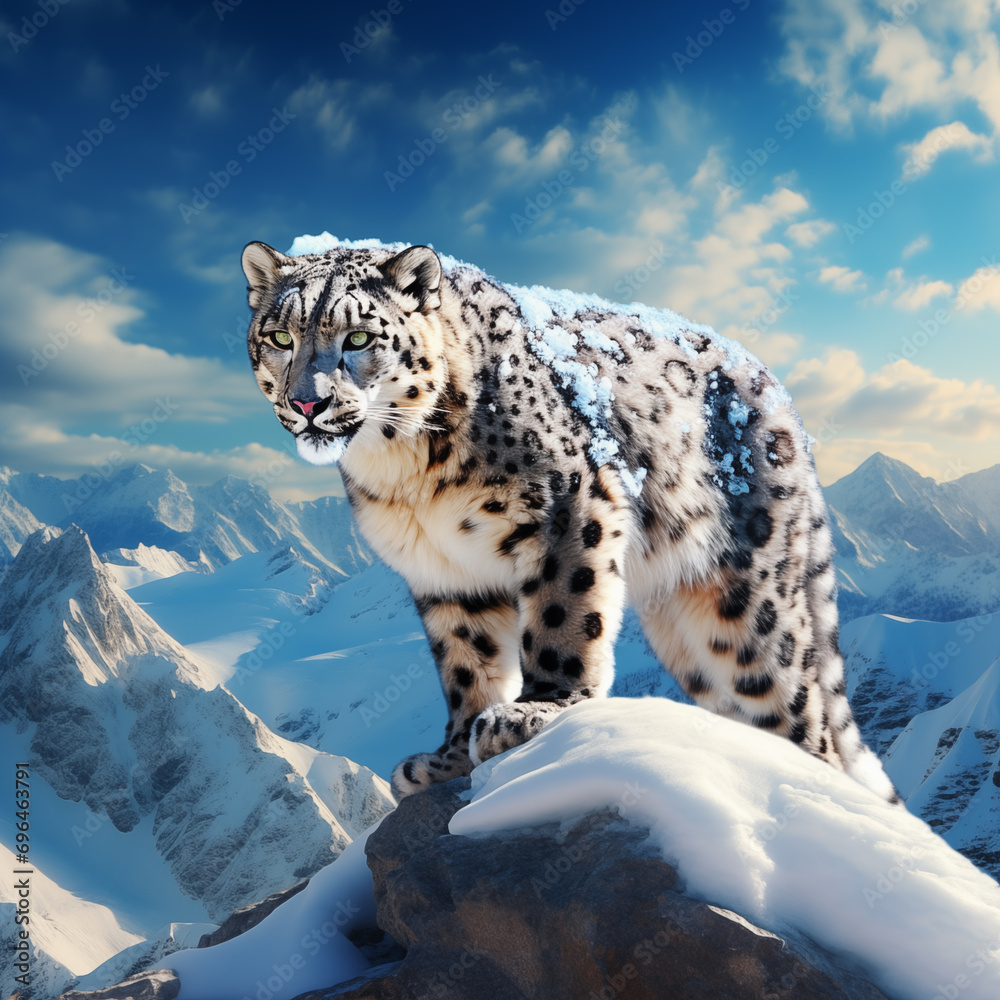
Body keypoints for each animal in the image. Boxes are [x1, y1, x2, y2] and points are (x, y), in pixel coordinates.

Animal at [241, 236, 897, 804]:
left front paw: (539, 709)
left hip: (749, 610)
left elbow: (562, 611)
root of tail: (776, 392)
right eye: (279, 335)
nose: (307, 402)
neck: (405, 472)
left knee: (803, 719)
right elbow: (465, 659)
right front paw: (448, 756)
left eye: (357, 337)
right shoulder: (444, 571)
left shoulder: (568, 503)